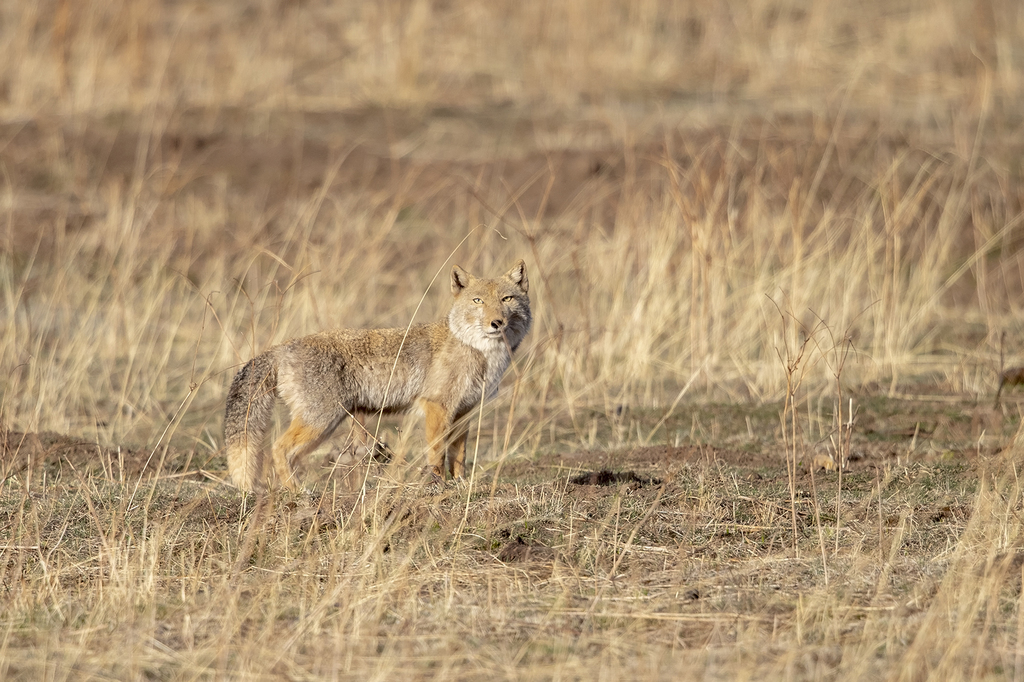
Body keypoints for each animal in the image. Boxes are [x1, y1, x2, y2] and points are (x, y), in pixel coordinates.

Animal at [223, 260, 532, 491]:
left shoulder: (464, 412)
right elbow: (437, 453)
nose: (496, 323)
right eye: (478, 301)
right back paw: (297, 492)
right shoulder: (438, 408)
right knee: (278, 449)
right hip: (321, 422)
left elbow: (459, 456)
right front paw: (438, 485)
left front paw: (460, 485)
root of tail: (280, 347)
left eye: (506, 299)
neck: (481, 354)